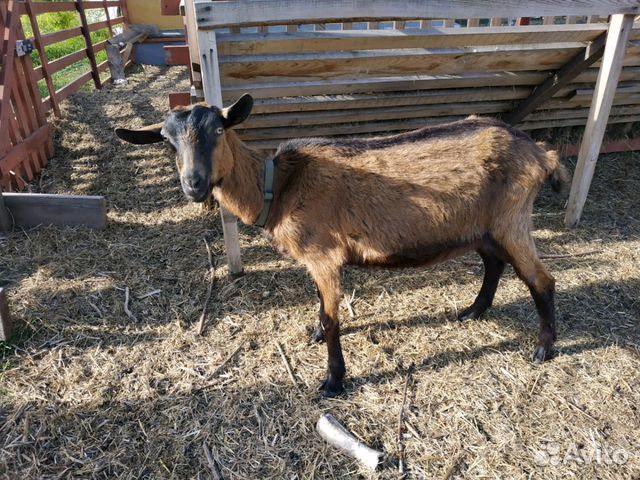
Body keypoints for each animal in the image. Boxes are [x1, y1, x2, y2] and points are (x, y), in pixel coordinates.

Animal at [116, 94, 568, 397]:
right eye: (168, 141)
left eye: (218, 130)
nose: (193, 185)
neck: (279, 187)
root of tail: (541, 153)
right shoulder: (316, 262)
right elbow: (321, 307)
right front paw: (316, 335)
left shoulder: (325, 255)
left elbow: (334, 319)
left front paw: (333, 380)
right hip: (483, 226)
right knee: (494, 264)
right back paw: (474, 311)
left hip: (511, 217)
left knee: (541, 281)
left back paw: (542, 349)